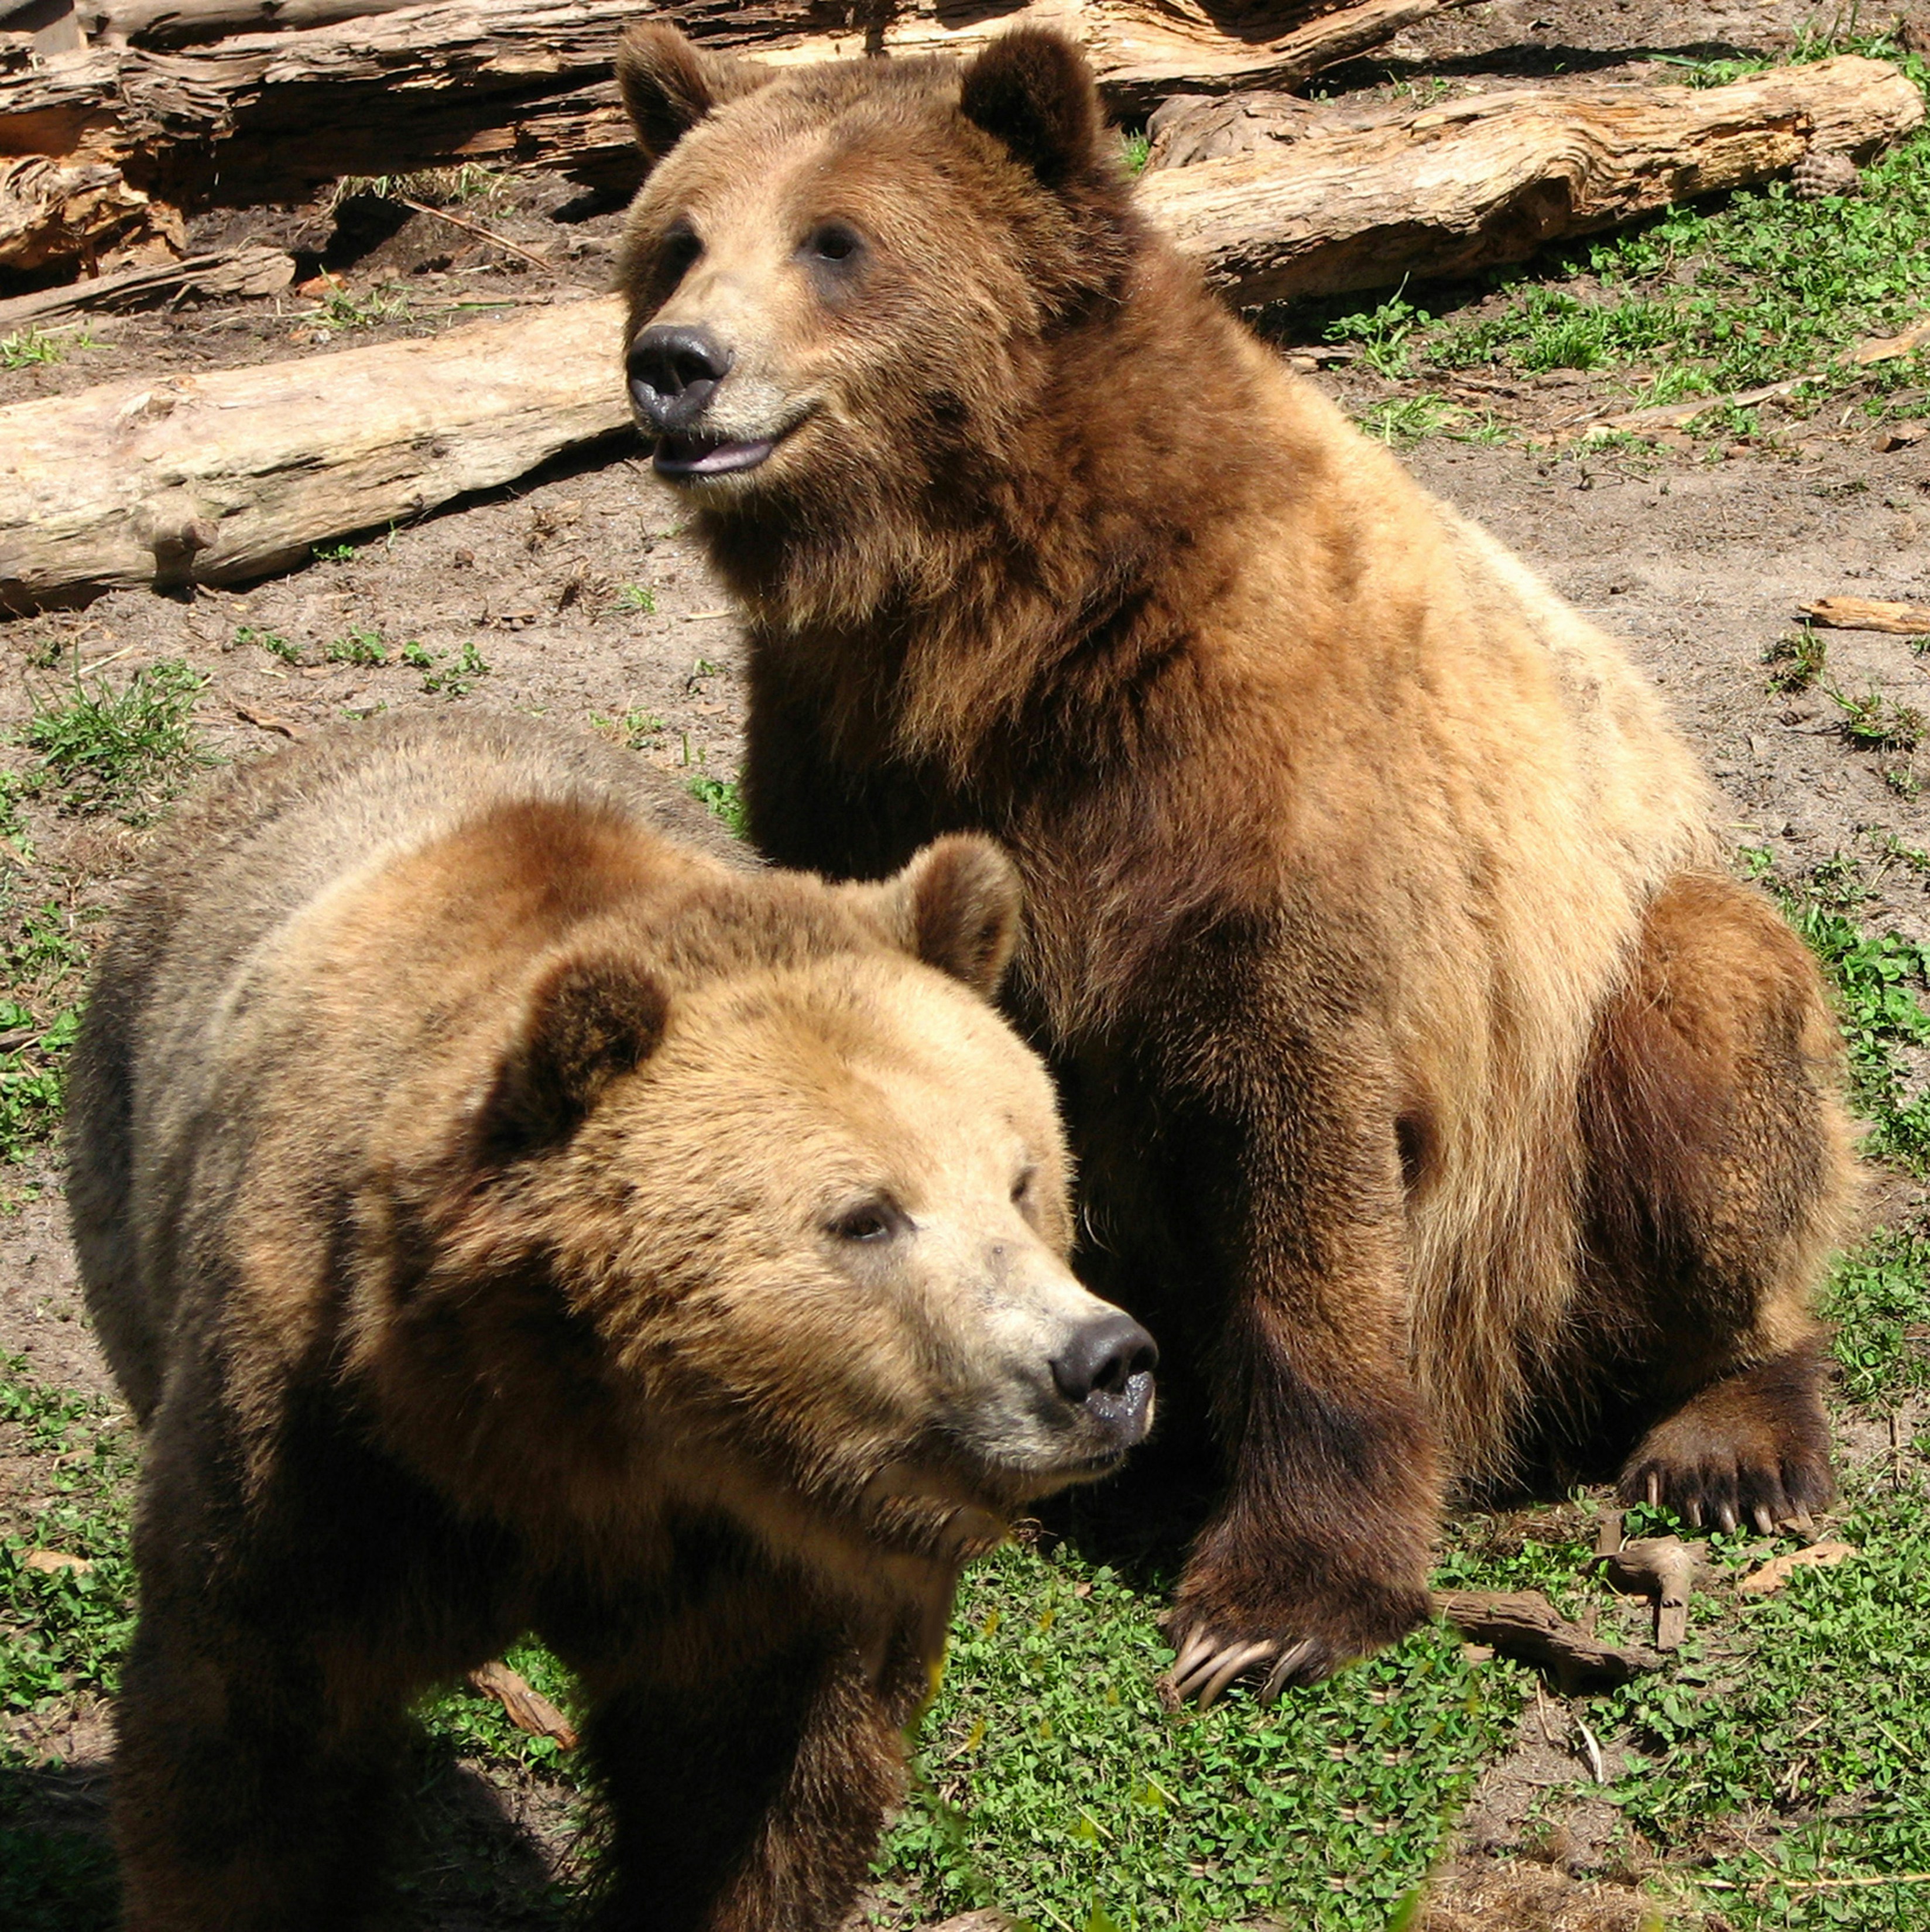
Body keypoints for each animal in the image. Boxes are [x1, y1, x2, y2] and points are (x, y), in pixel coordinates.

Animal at [65, 708, 1156, 1931]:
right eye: (867, 1217)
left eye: (1022, 1181)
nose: (1102, 1365)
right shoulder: (318, 1458)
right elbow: (250, 1757)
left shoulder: (760, 1563)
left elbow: (754, 1789)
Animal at [610, 24, 1856, 1712]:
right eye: (676, 238)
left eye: (835, 242)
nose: (677, 361)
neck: (989, 610)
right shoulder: (853, 762)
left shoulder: (1258, 792)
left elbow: (1301, 1162)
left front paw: (1277, 1598)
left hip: (1595, 1054)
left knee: (1717, 1040)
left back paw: (1728, 1437)